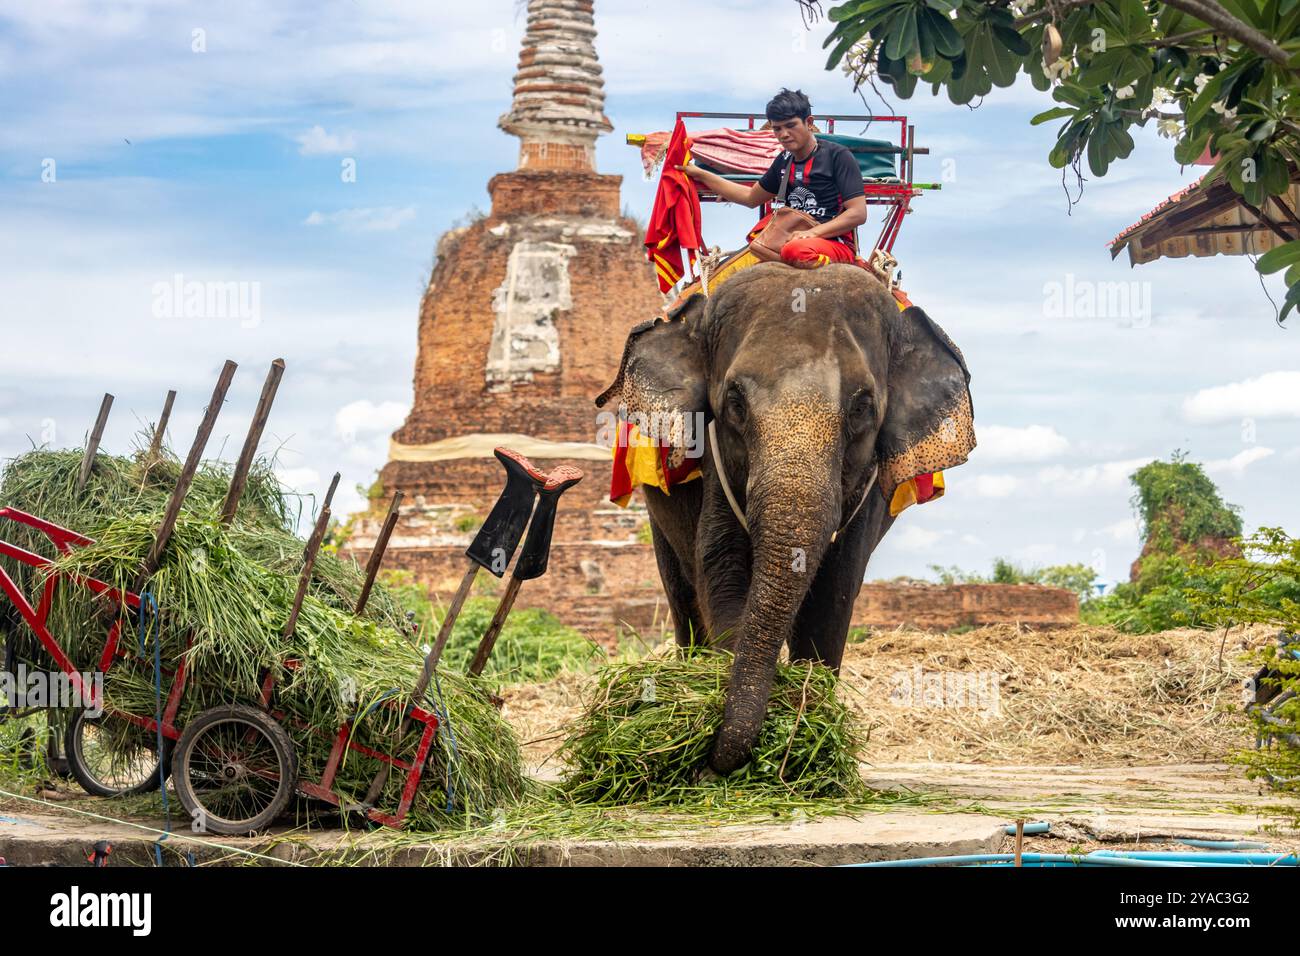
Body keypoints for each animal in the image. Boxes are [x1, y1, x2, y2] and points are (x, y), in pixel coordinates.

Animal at [596, 262, 975, 776]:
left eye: (862, 407)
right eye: (735, 403)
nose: (711, 760)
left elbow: (836, 589)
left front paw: (808, 725)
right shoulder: (714, 457)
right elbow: (723, 566)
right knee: (682, 594)